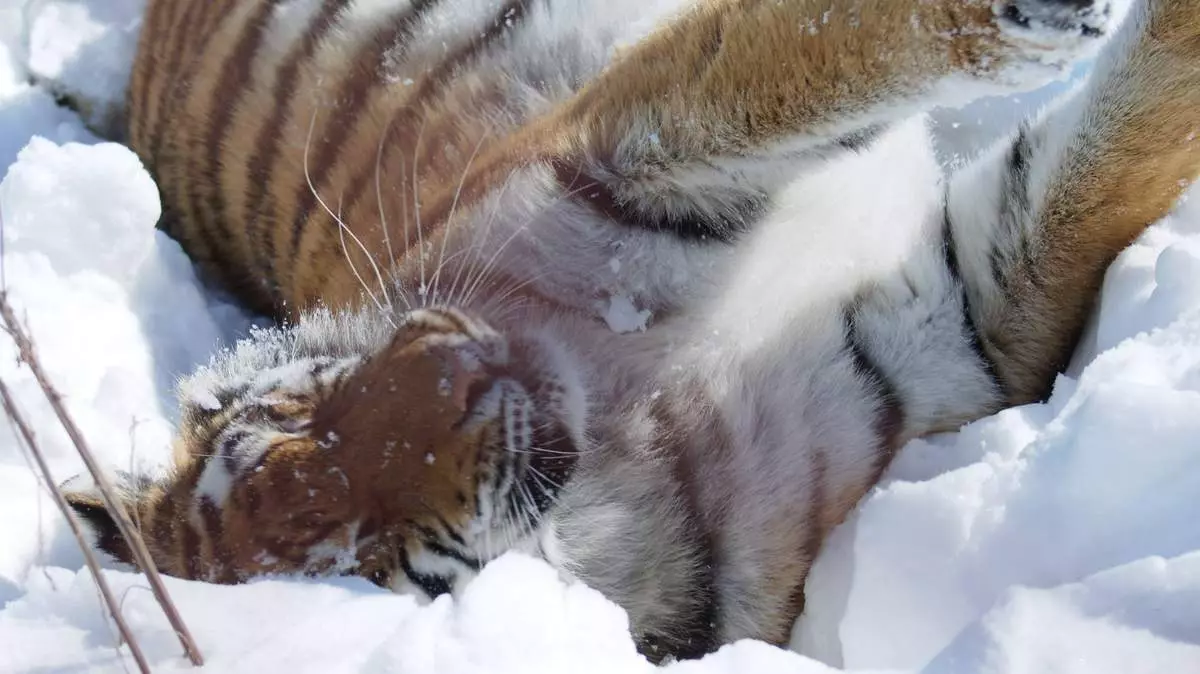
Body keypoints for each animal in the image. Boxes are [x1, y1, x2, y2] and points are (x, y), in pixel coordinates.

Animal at [60, 0, 1200, 662]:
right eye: (365, 559)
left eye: (298, 414)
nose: (458, 381)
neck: (630, 424)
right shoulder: (949, 331)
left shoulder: (627, 150)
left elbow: (814, 51)